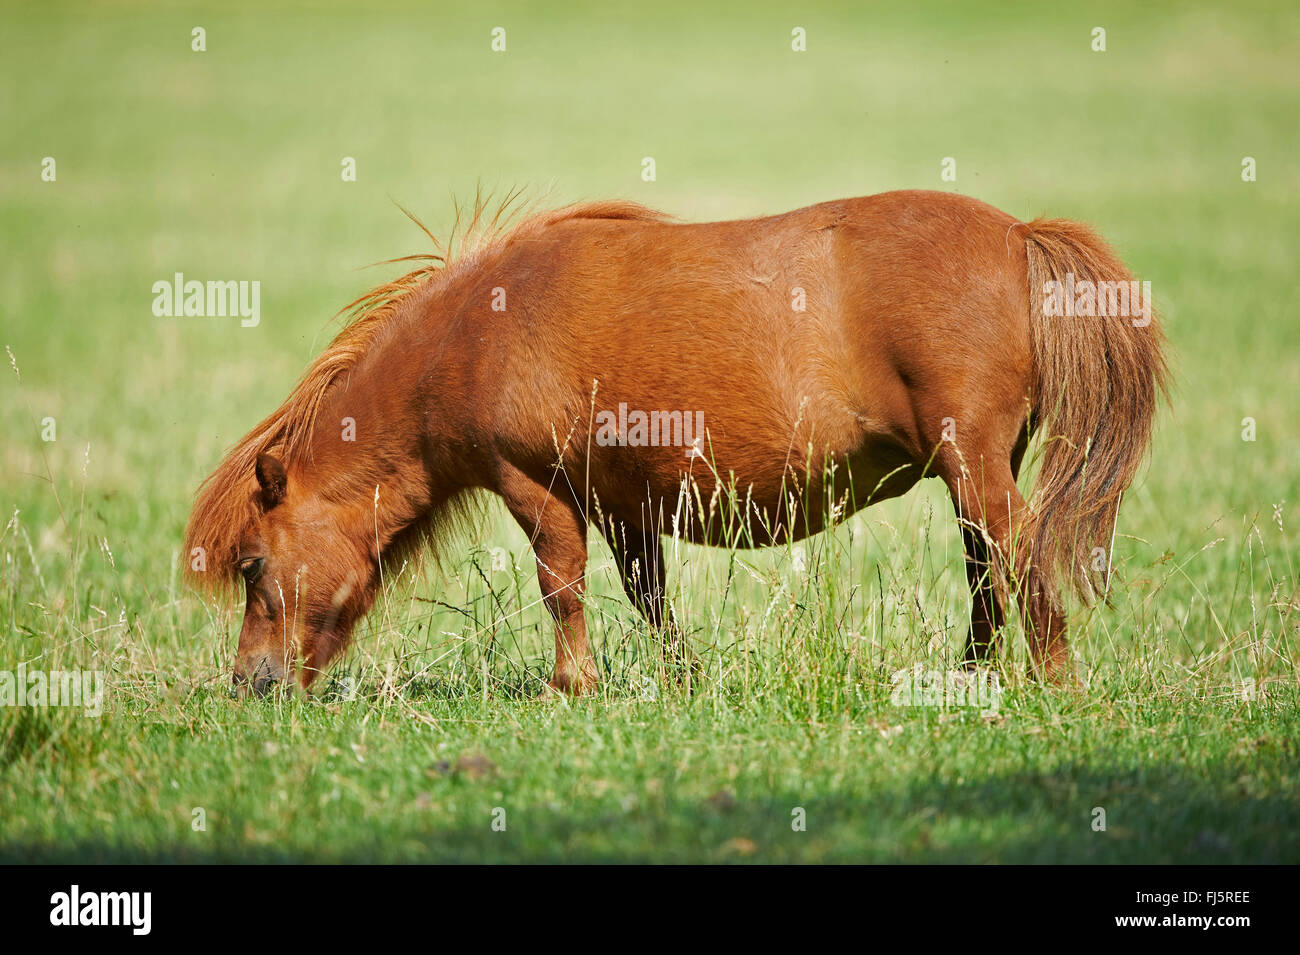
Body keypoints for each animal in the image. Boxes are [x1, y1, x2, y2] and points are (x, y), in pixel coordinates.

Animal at [184, 189, 1167, 696]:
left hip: (974, 467)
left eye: (253, 567)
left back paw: (1054, 682)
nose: (247, 683)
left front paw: (573, 687)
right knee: (987, 571)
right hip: (973, 474)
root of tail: (1016, 234)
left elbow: (562, 589)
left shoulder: (537, 487)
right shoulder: (624, 505)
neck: (479, 329)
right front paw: (683, 682)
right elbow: (649, 598)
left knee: (1018, 555)